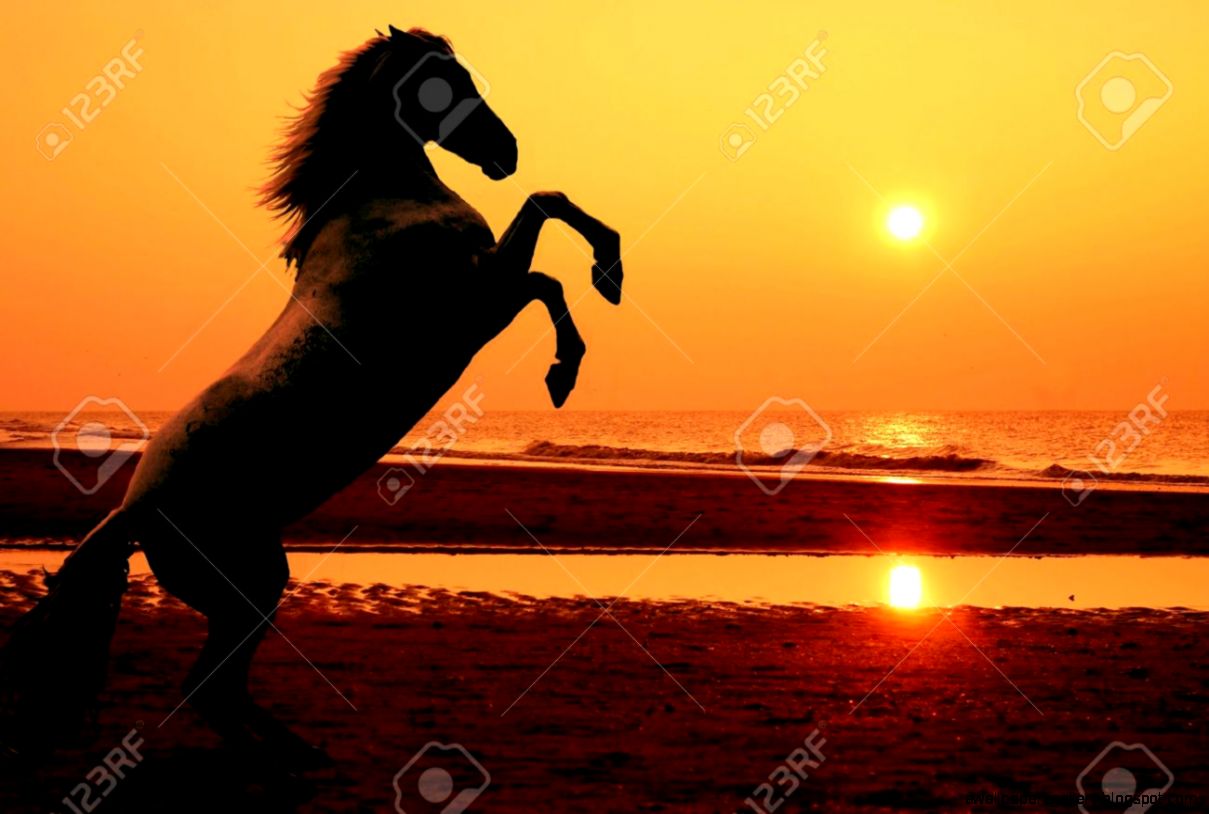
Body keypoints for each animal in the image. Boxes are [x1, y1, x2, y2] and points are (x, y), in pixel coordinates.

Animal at [0, 26, 621, 767]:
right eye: (448, 78)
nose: (506, 150)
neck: (381, 205)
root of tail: (134, 508)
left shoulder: (483, 300)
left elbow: (546, 233)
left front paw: (596, 299)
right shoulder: (479, 303)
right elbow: (546, 239)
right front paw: (576, 347)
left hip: (251, 587)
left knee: (217, 691)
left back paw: (297, 753)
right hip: (251, 588)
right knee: (210, 687)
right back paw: (292, 756)